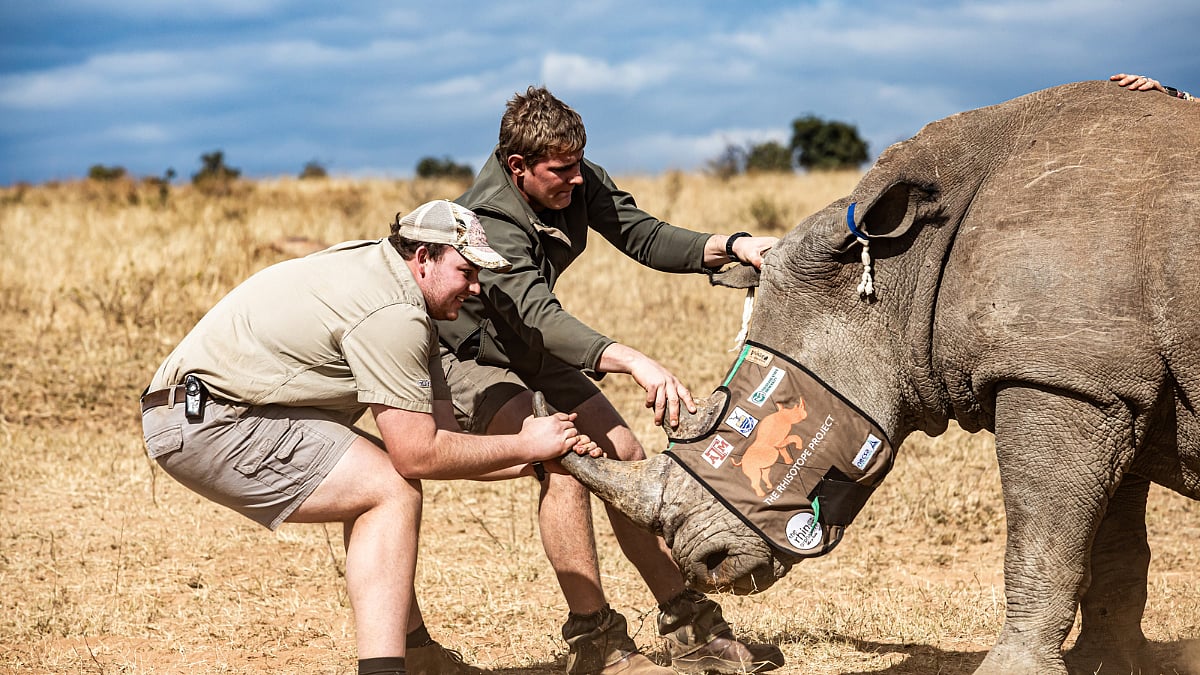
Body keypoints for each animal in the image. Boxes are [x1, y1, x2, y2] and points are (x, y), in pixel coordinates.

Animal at [549, 81, 1200, 675]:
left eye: (735, 424)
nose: (702, 565)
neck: (909, 264)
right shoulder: (1100, 377)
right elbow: (1112, 545)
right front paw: (1109, 662)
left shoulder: (1059, 376)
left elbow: (1042, 537)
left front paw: (1016, 668)